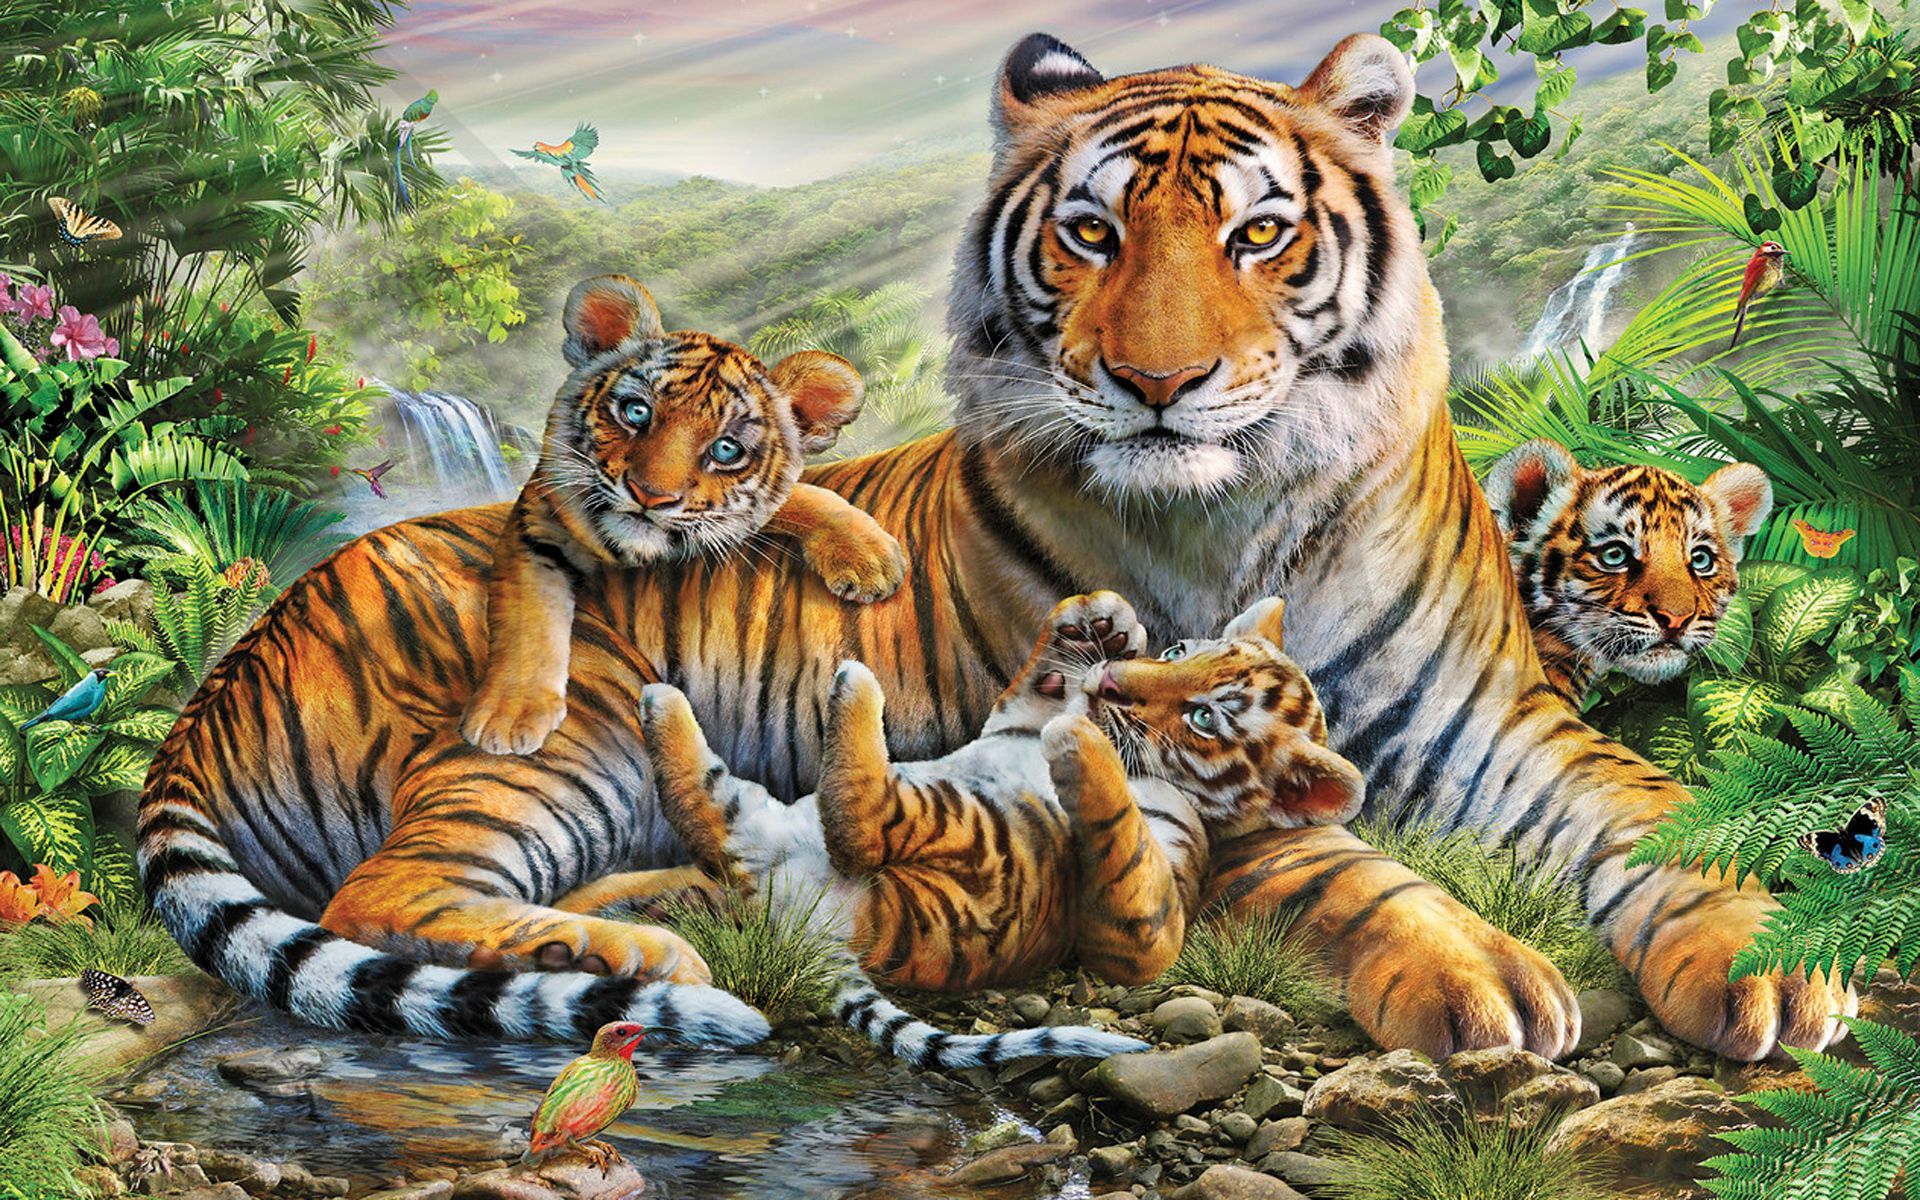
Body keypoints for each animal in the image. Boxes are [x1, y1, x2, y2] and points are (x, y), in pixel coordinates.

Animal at [460, 274, 907, 756]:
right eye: (636, 411)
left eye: (726, 449)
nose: (650, 495)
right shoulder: (537, 525)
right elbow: (529, 618)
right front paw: (510, 714)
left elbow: (802, 496)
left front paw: (869, 558)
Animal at [641, 591, 1363, 1056]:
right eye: (1179, 649)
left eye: (1205, 717)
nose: (1109, 682)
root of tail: (802, 925)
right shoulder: (1016, 717)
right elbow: (1032, 686)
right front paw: (1100, 618)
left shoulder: (1146, 930)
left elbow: (1124, 846)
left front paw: (1080, 740)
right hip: (759, 820)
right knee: (702, 811)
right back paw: (660, 699)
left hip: (975, 844)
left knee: (864, 819)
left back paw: (853, 684)